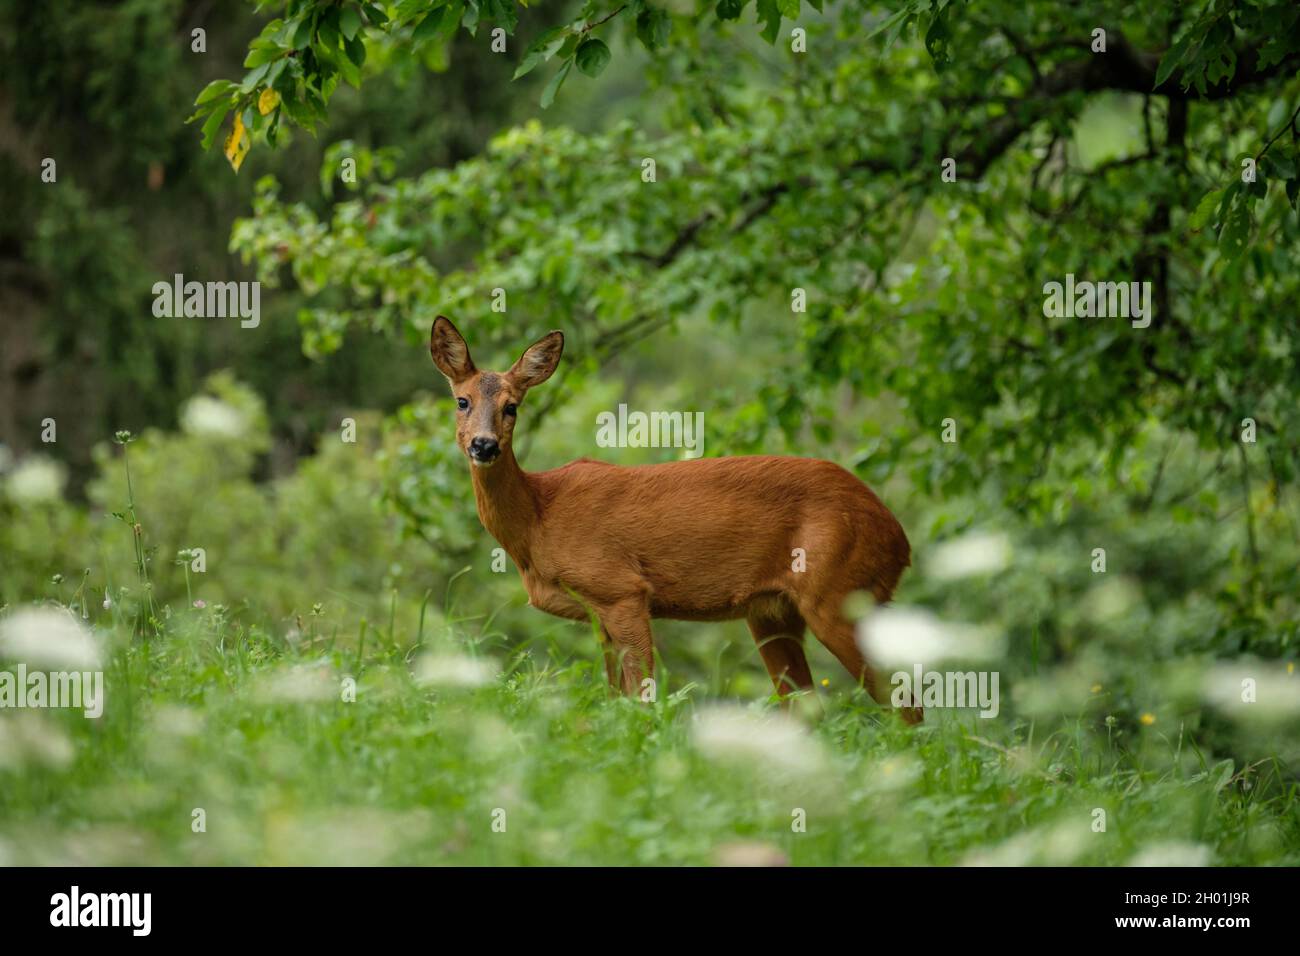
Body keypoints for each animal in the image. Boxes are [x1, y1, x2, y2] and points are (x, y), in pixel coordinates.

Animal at [429, 316, 920, 722]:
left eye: (512, 406)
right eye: (462, 401)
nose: (484, 445)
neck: (538, 518)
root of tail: (899, 537)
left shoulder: (622, 589)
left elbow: (641, 698)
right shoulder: (596, 611)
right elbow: (614, 697)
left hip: (840, 591)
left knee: (905, 703)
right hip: (774, 612)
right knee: (806, 705)